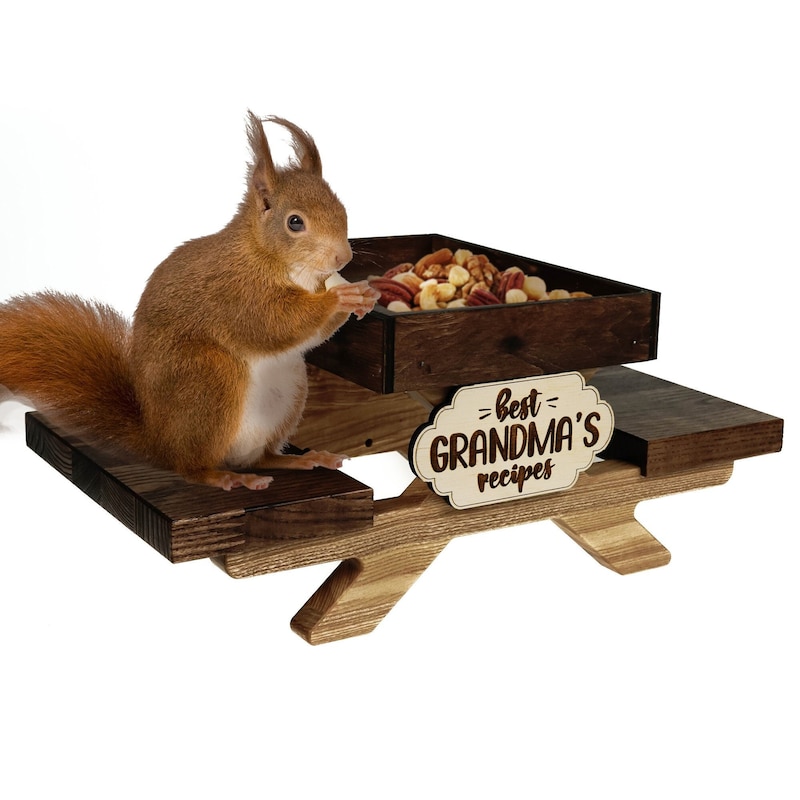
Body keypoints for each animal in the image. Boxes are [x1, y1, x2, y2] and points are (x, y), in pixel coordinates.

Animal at [0, 111, 379, 490]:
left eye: (342, 209)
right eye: (295, 222)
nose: (343, 257)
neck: (271, 257)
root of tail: (158, 442)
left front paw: (365, 294)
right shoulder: (236, 292)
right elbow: (272, 324)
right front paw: (340, 296)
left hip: (290, 389)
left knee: (263, 457)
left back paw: (300, 460)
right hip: (209, 377)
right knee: (191, 467)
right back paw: (226, 477)